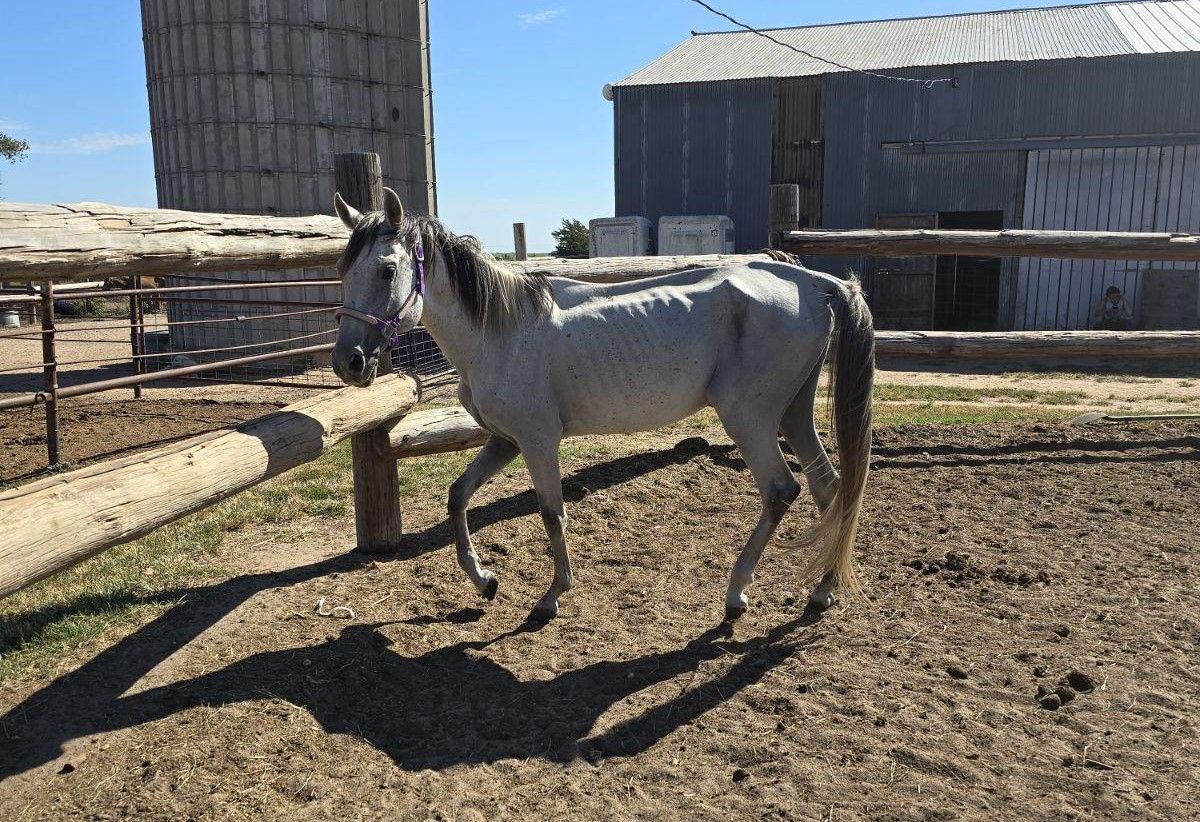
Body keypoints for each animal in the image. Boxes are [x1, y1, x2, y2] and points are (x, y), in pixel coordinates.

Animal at [330, 188, 875, 623]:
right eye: (343, 269)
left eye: (387, 270)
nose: (348, 363)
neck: (501, 332)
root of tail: (814, 284)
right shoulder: (505, 440)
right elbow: (458, 495)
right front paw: (484, 580)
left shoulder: (537, 442)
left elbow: (551, 513)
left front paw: (551, 597)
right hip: (793, 414)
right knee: (830, 487)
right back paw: (823, 589)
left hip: (750, 419)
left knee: (783, 491)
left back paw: (736, 593)